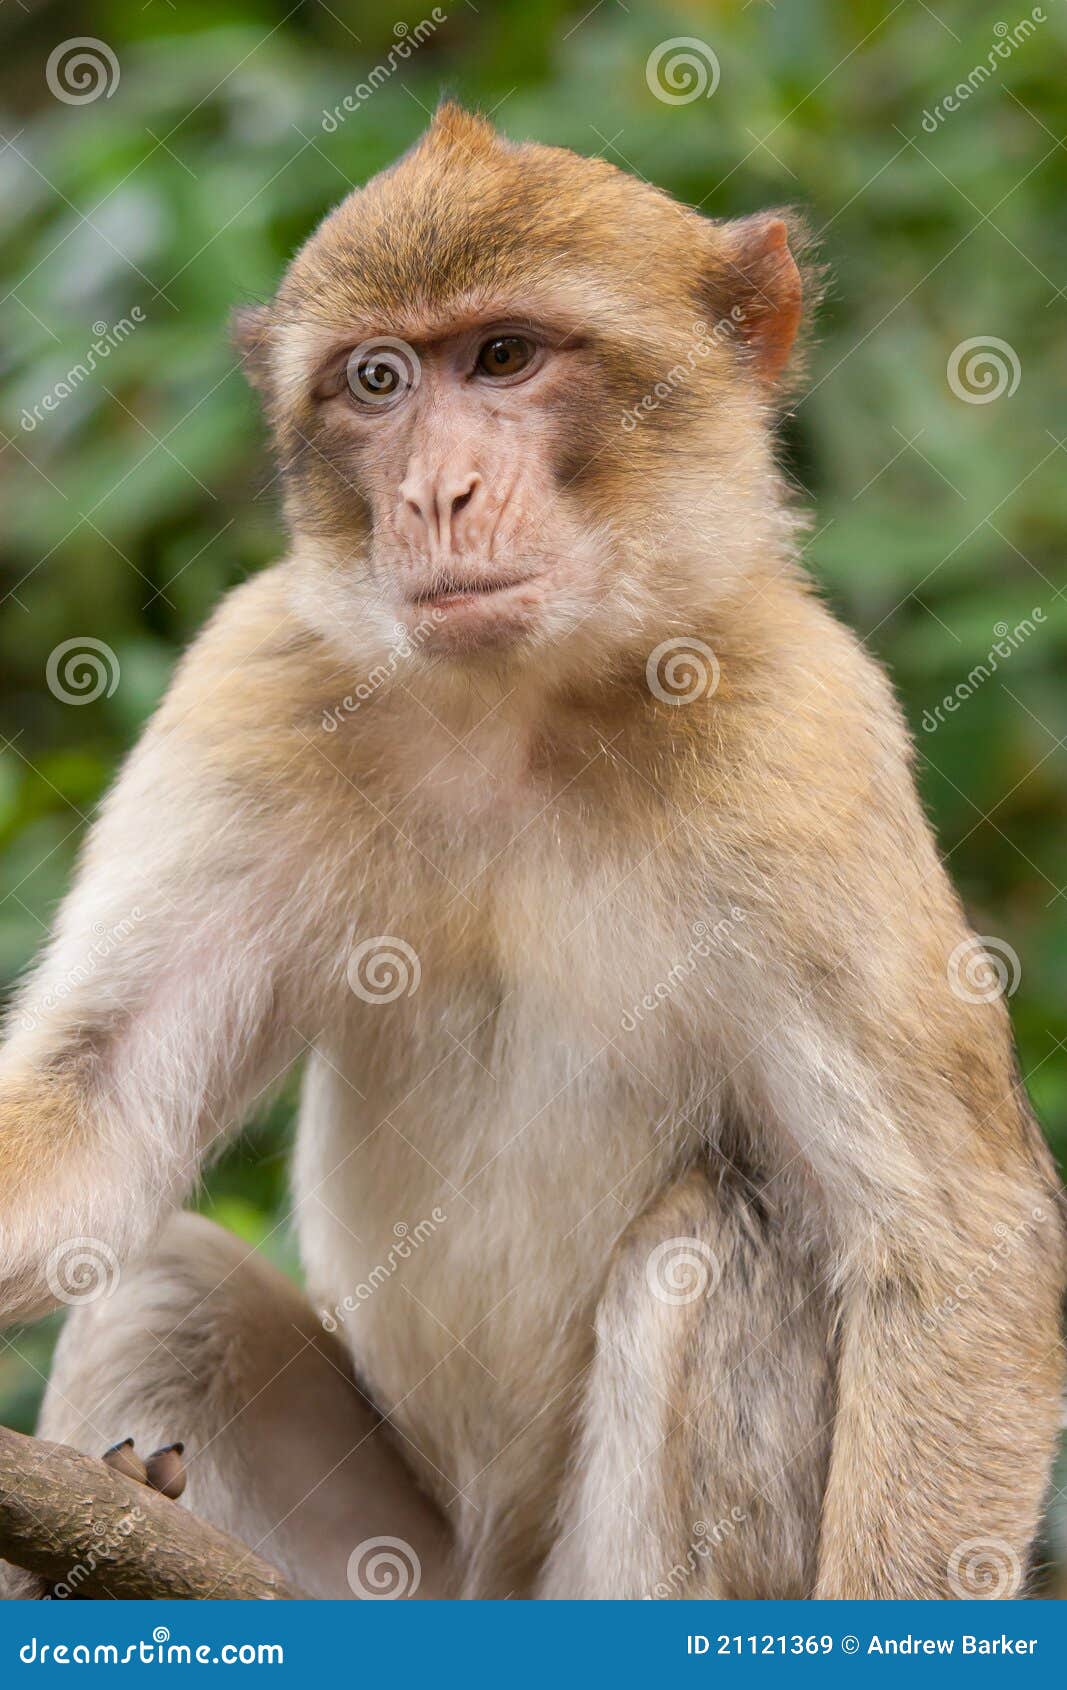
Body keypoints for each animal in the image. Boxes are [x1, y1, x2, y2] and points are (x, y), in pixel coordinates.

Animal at [0, 102, 1063, 1602]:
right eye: (376, 380)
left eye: (503, 357)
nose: (435, 495)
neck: (520, 705)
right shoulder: (251, 678)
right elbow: (94, 1121)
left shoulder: (807, 733)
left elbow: (955, 1248)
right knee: (167, 1282)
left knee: (711, 1242)